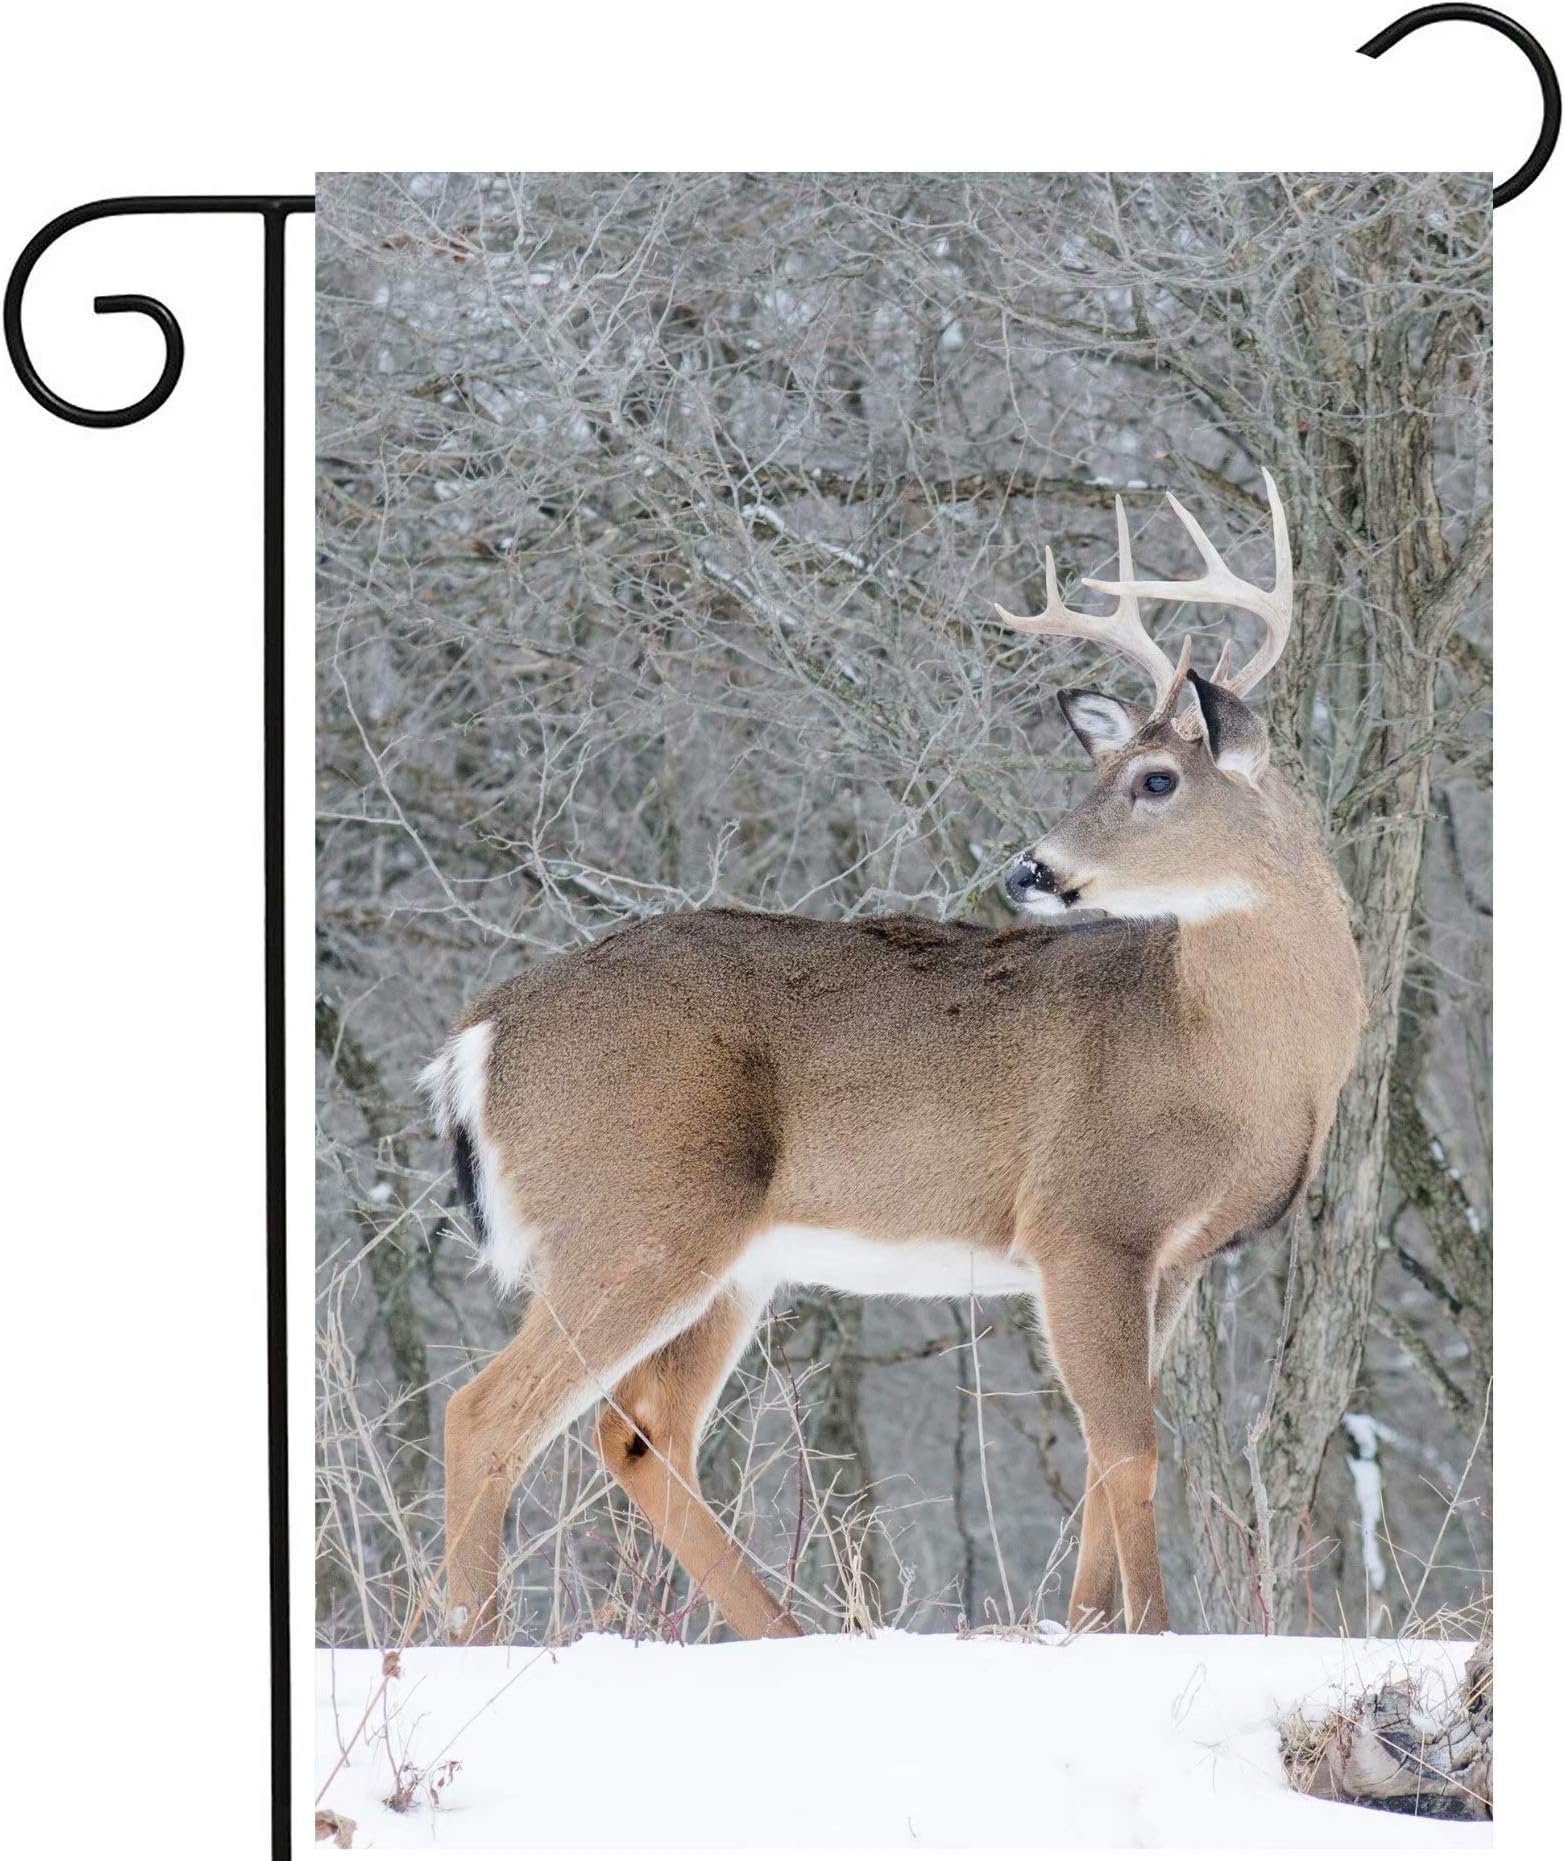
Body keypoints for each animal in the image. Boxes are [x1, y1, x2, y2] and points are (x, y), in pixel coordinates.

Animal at [421, 470, 1364, 1644]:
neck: (1228, 1055)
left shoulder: (1174, 1256)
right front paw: (1147, 1636)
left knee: (638, 1433)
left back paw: (786, 1639)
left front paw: (1083, 1628)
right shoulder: (1083, 1219)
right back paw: (476, 1638)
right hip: (633, 1216)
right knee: (486, 1412)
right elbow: (1129, 1449)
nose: (1028, 869)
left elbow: (1105, 1466)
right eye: (1103, 765)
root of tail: (480, 1033)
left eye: (1154, 779)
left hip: (728, 1257)